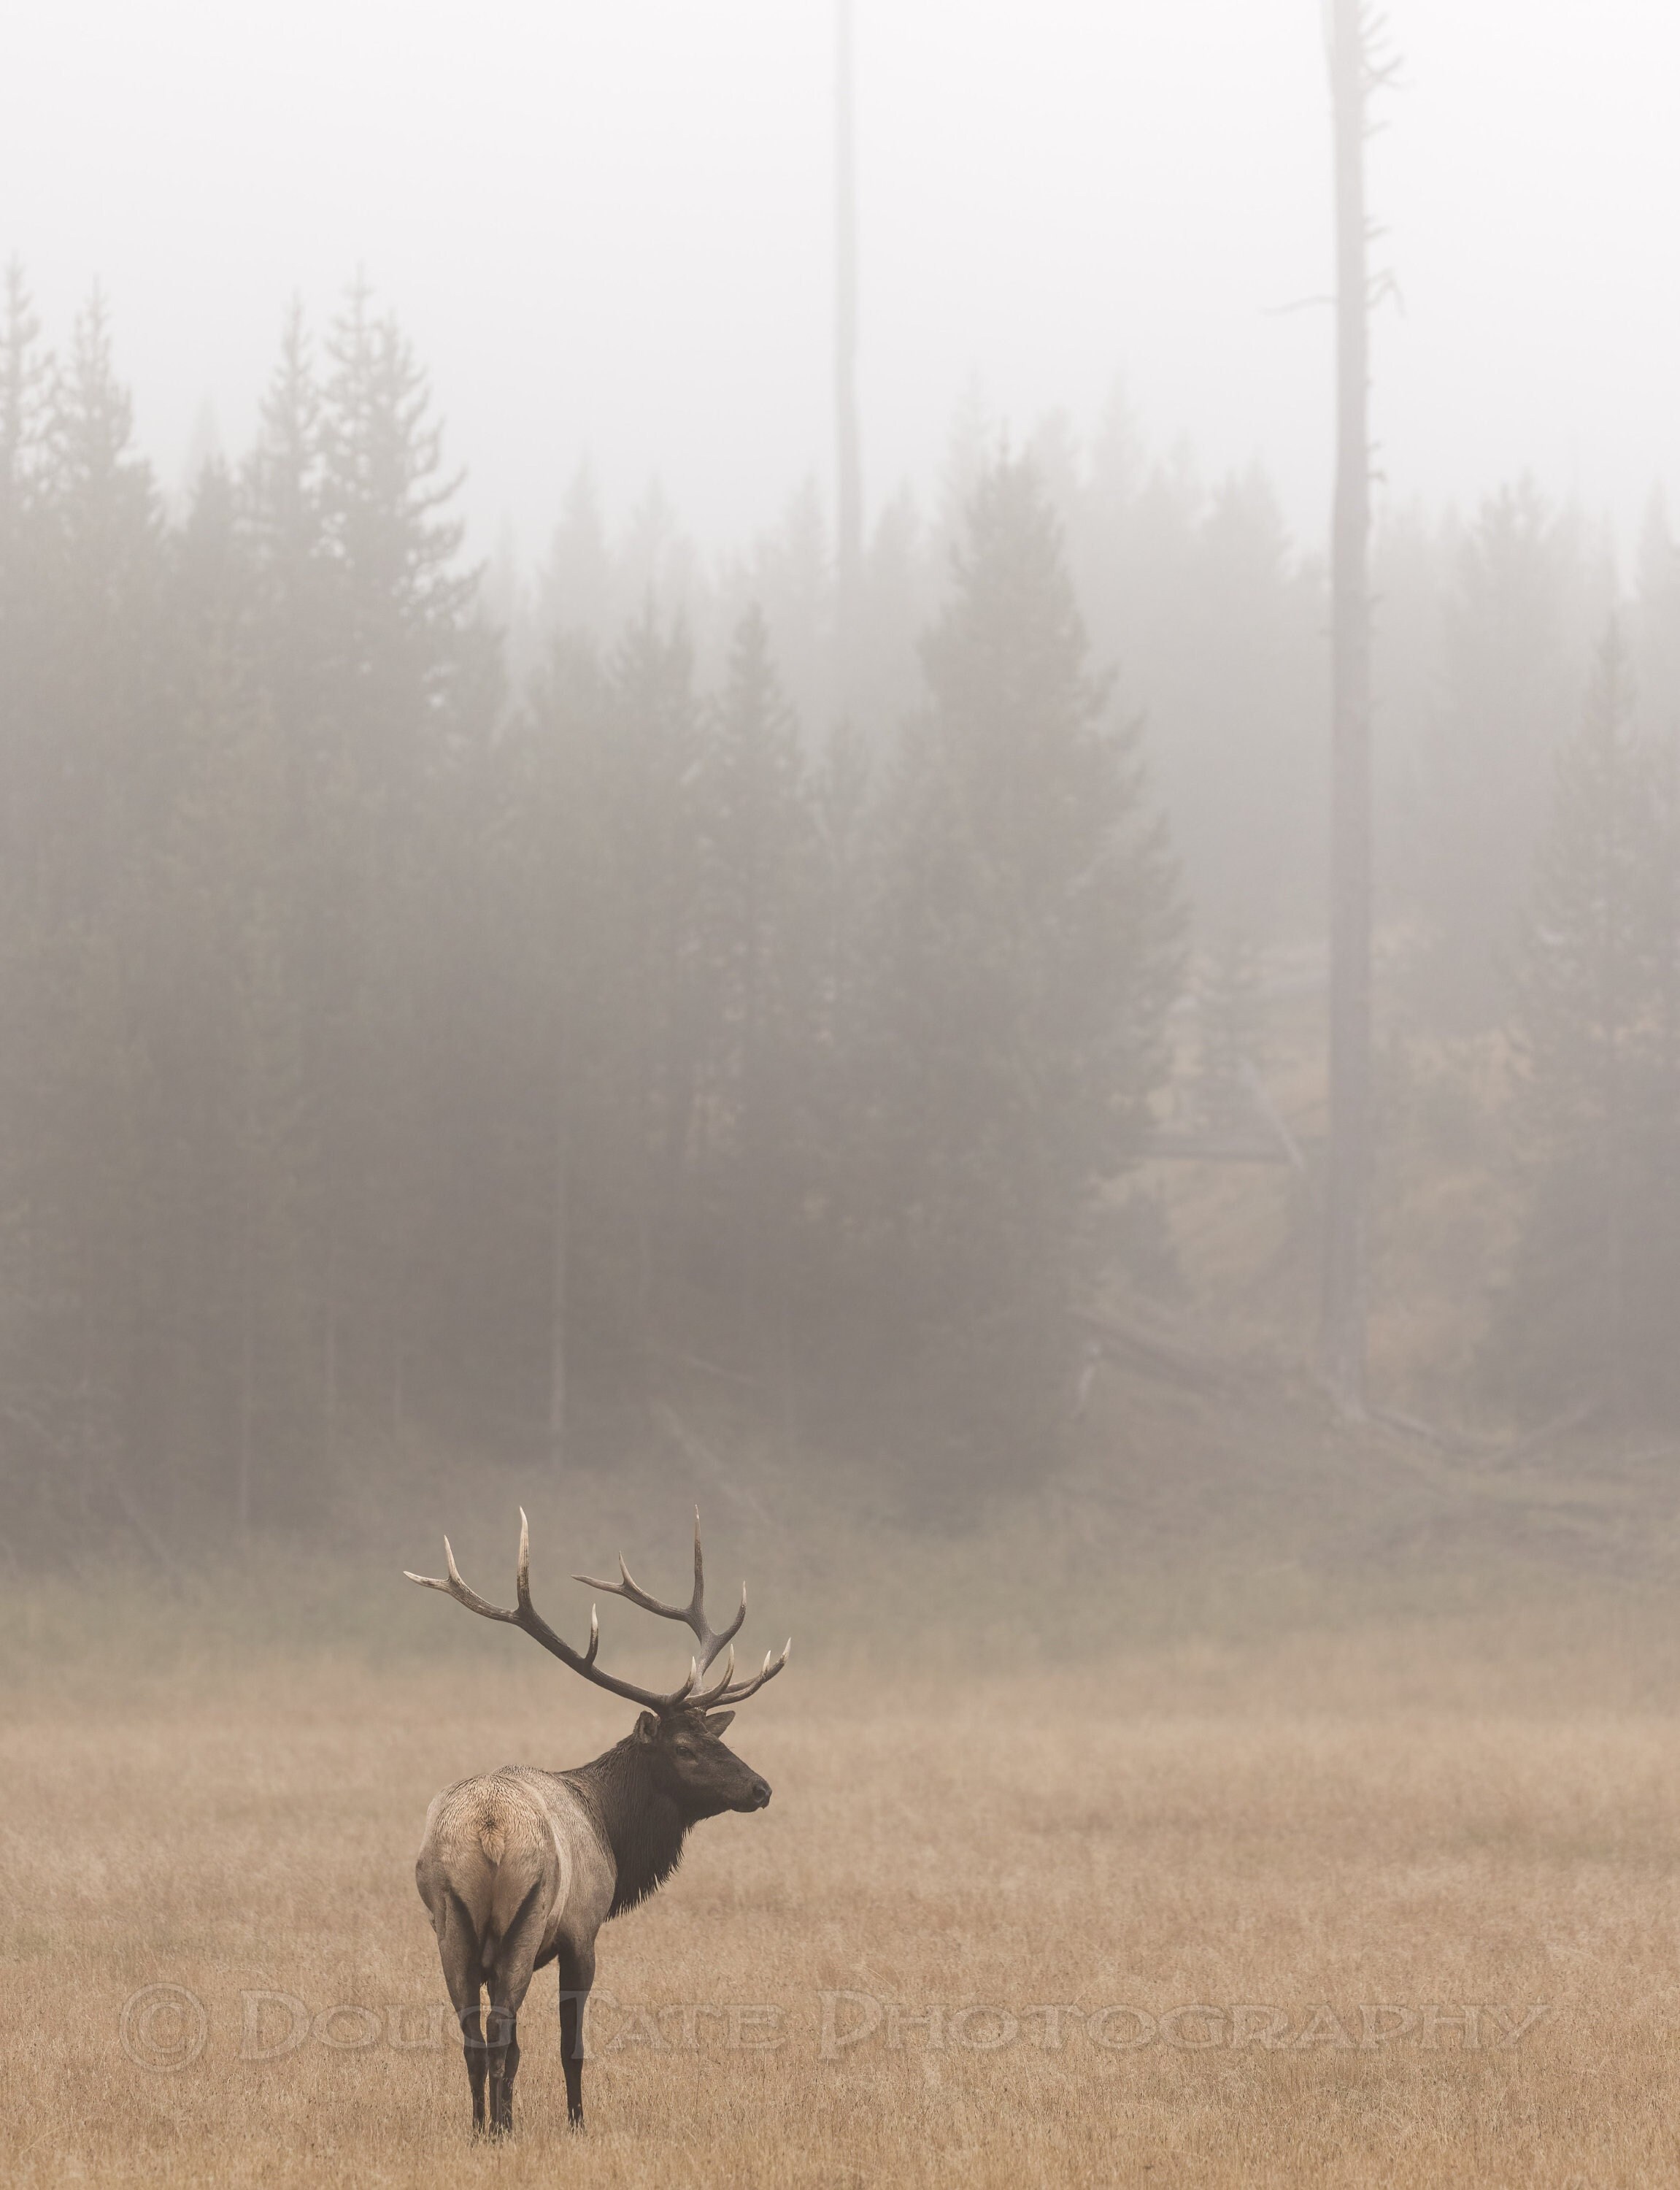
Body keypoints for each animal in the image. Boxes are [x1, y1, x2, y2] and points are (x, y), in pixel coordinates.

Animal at [403, 1509, 789, 2137]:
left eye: (716, 1737)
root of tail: (489, 1829)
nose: (760, 1788)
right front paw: (577, 2124)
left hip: (448, 1922)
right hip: (526, 1918)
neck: (610, 1827)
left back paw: (481, 2129)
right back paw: (502, 2131)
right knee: (500, 2031)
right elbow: (571, 2044)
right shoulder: (583, 1930)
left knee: (471, 2035)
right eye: (685, 1747)